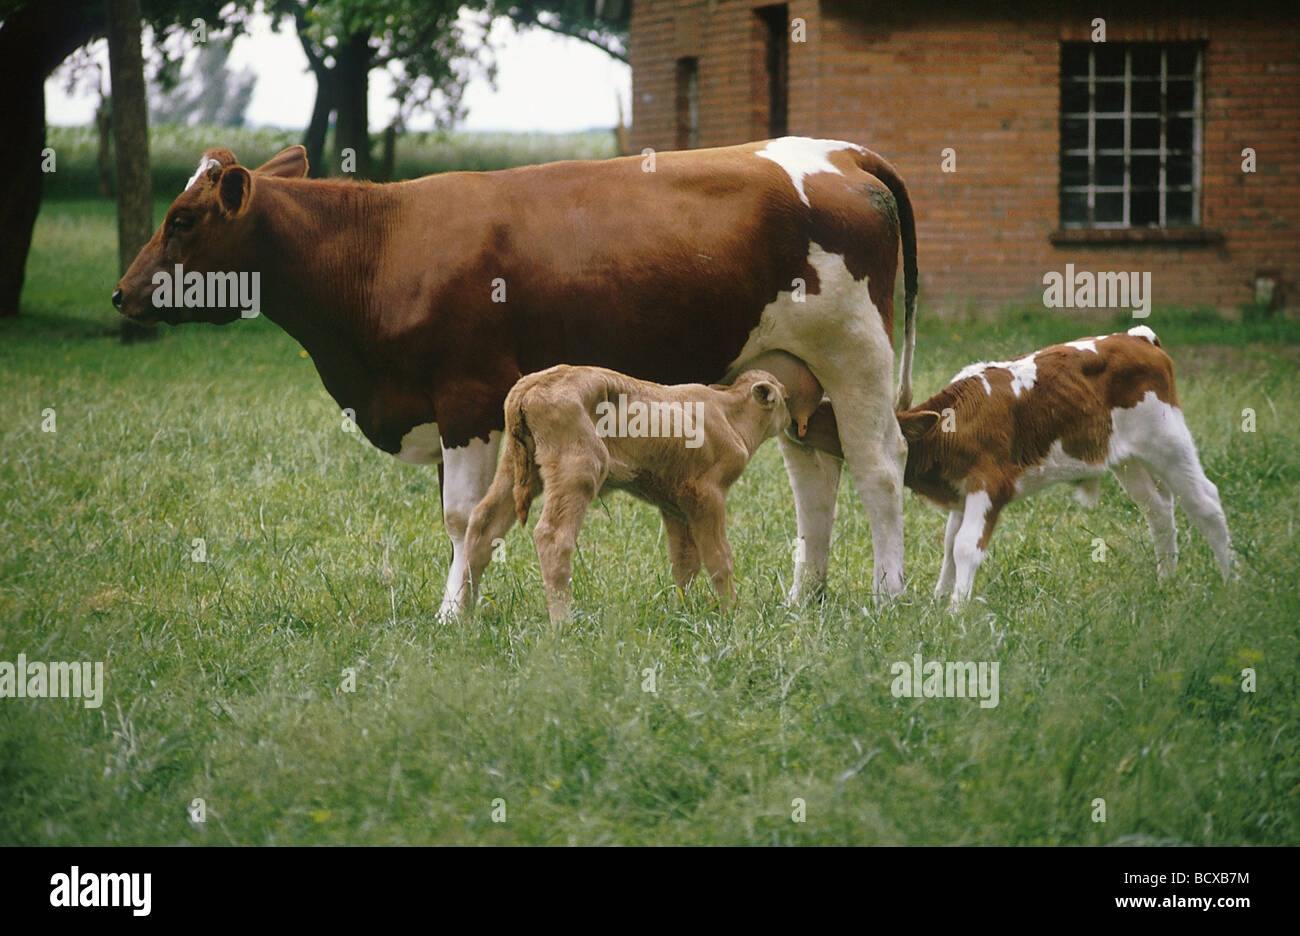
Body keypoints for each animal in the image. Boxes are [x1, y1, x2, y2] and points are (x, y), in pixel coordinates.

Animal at [462, 364, 801, 622]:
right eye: (785, 397)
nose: (796, 422)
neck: (730, 417)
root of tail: (532, 384)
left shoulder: (675, 504)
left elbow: (684, 561)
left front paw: (684, 611)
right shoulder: (707, 495)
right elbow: (719, 557)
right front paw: (731, 612)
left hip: (513, 468)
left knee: (482, 526)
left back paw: (462, 616)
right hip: (577, 470)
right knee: (553, 536)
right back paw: (562, 624)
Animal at [794, 326, 1236, 608]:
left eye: (835, 416)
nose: (797, 417)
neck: (952, 423)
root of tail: (1139, 338)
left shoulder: (989, 484)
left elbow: (965, 547)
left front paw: (956, 612)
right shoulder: (962, 493)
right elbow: (949, 548)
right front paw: (939, 601)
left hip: (1168, 439)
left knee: (1205, 502)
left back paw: (1234, 581)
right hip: (1128, 460)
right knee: (1159, 509)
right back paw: (1167, 580)